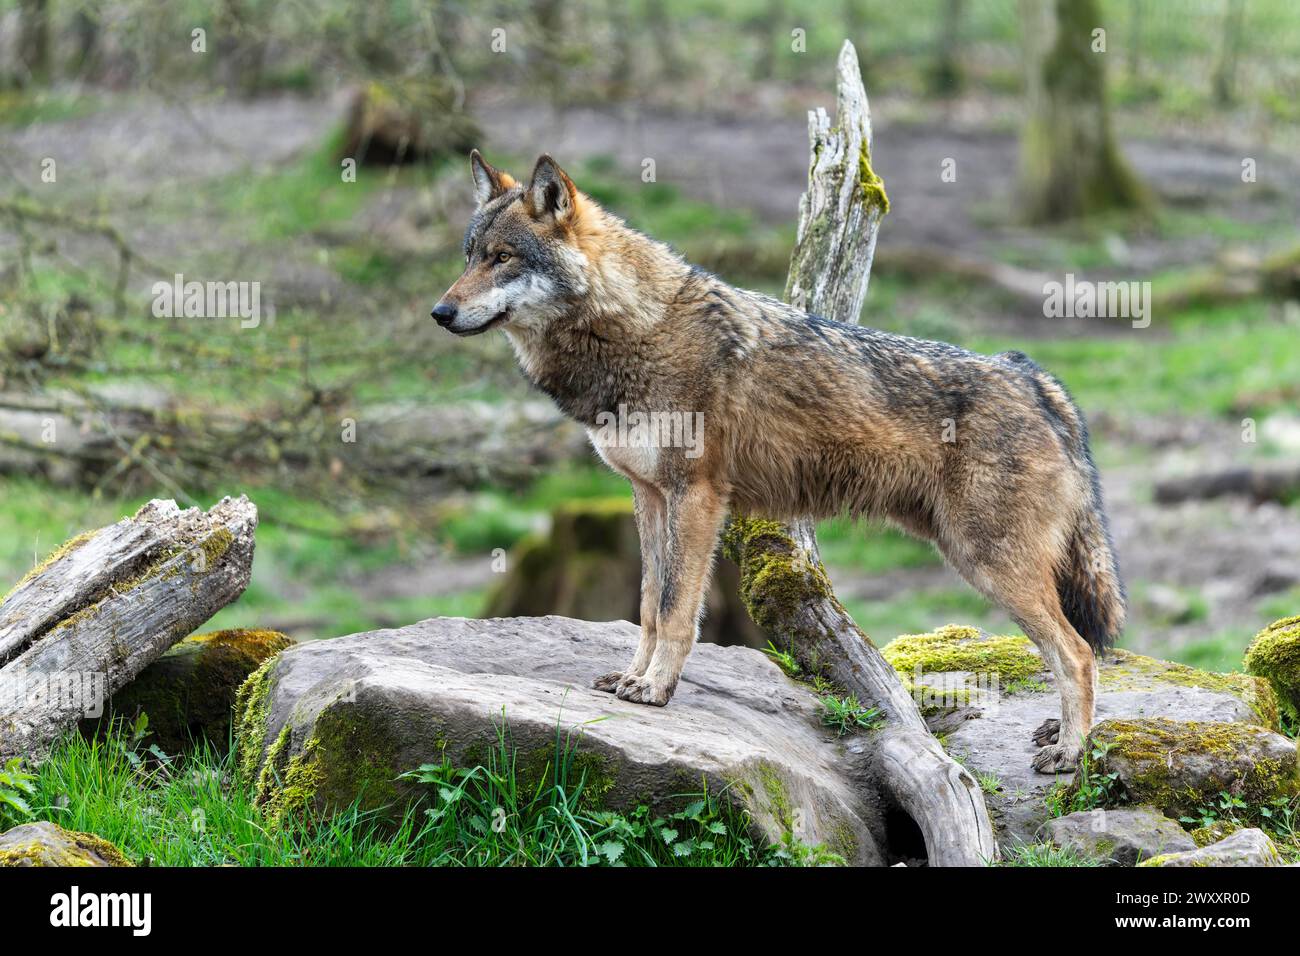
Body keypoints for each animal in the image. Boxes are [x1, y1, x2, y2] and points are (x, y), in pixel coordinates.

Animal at [432, 150, 1125, 773]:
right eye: (468, 256)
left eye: (502, 258)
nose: (440, 312)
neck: (633, 327)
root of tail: (1033, 376)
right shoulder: (649, 496)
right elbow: (648, 607)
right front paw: (632, 677)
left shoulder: (697, 496)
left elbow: (677, 610)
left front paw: (655, 691)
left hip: (987, 561)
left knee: (1078, 653)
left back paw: (1070, 752)